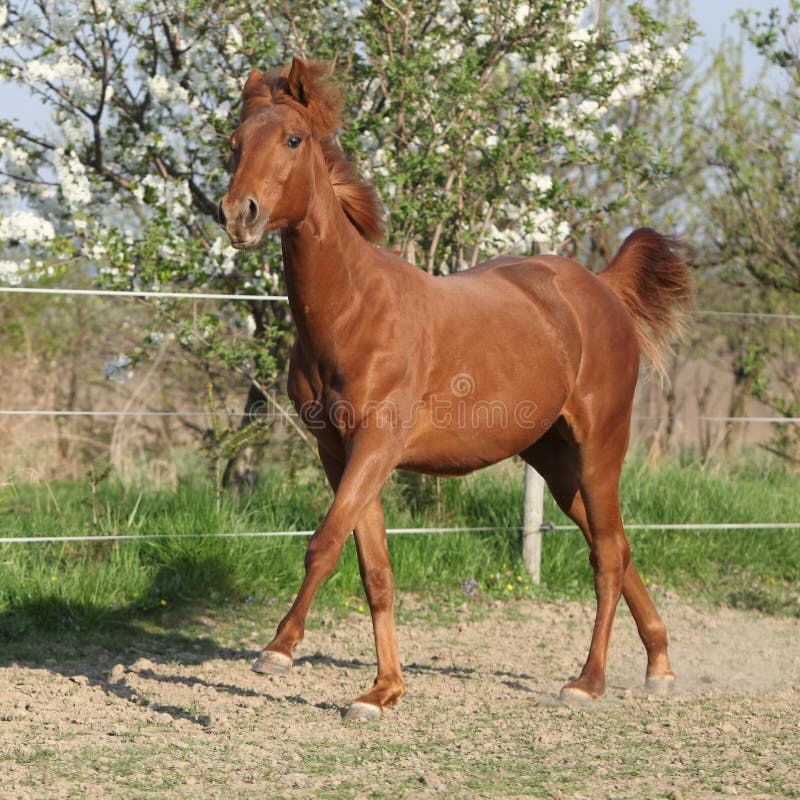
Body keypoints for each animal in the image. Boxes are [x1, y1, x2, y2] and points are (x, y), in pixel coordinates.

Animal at [218, 58, 691, 722]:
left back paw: (588, 681)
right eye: (234, 143)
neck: (354, 311)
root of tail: (600, 288)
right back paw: (659, 665)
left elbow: (326, 542)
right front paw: (382, 692)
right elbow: (375, 570)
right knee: (619, 548)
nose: (239, 213)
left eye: (293, 139)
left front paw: (279, 649)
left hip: (600, 447)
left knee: (605, 556)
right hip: (555, 463)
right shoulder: (340, 453)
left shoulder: (377, 445)